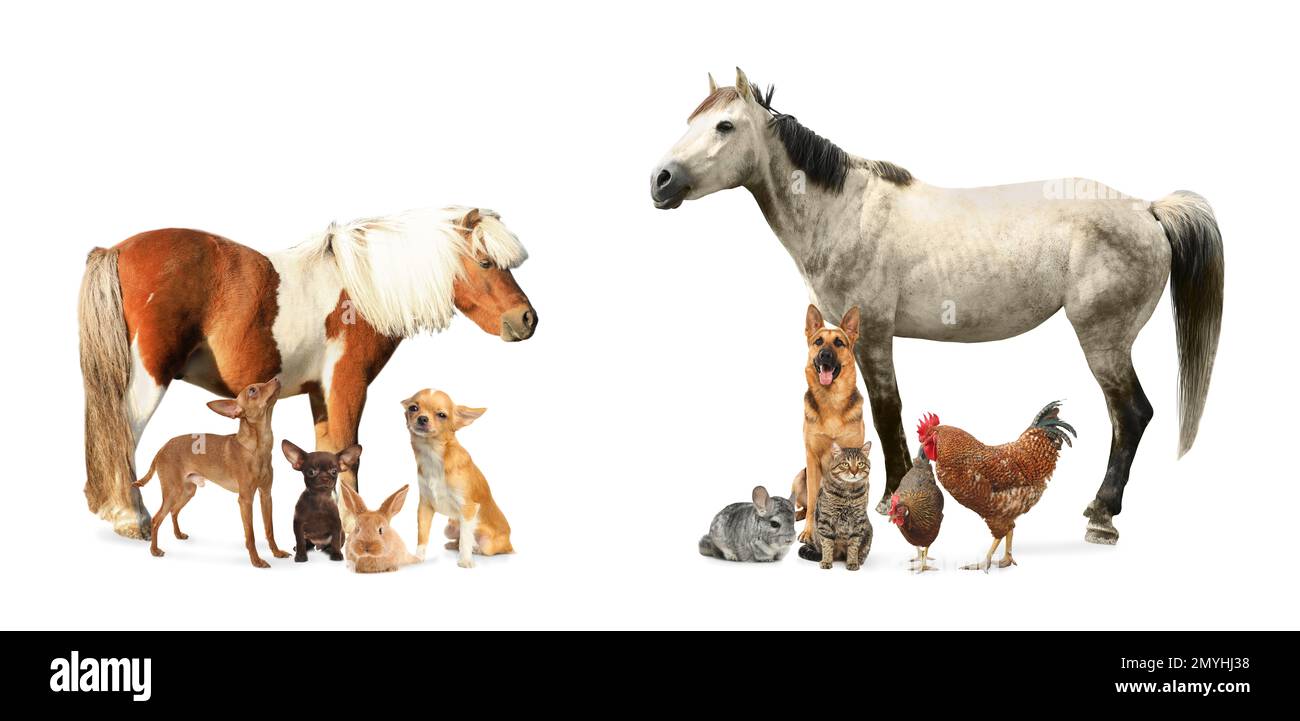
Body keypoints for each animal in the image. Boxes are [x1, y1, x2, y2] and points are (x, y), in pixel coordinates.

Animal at [78, 206, 537, 540]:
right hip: (148, 380)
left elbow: (328, 452)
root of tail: (116, 250)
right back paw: (132, 519)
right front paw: (353, 530)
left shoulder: (321, 394)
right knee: (124, 437)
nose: (527, 319)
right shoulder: (347, 386)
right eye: (485, 262)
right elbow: (350, 457)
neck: (361, 288)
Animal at [650, 69, 1223, 545]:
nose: (661, 180)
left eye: (724, 125)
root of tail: (1148, 210)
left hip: (1104, 339)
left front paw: (889, 497)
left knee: (1132, 414)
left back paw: (1102, 516)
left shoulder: (873, 335)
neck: (845, 212)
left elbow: (887, 412)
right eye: (691, 120)